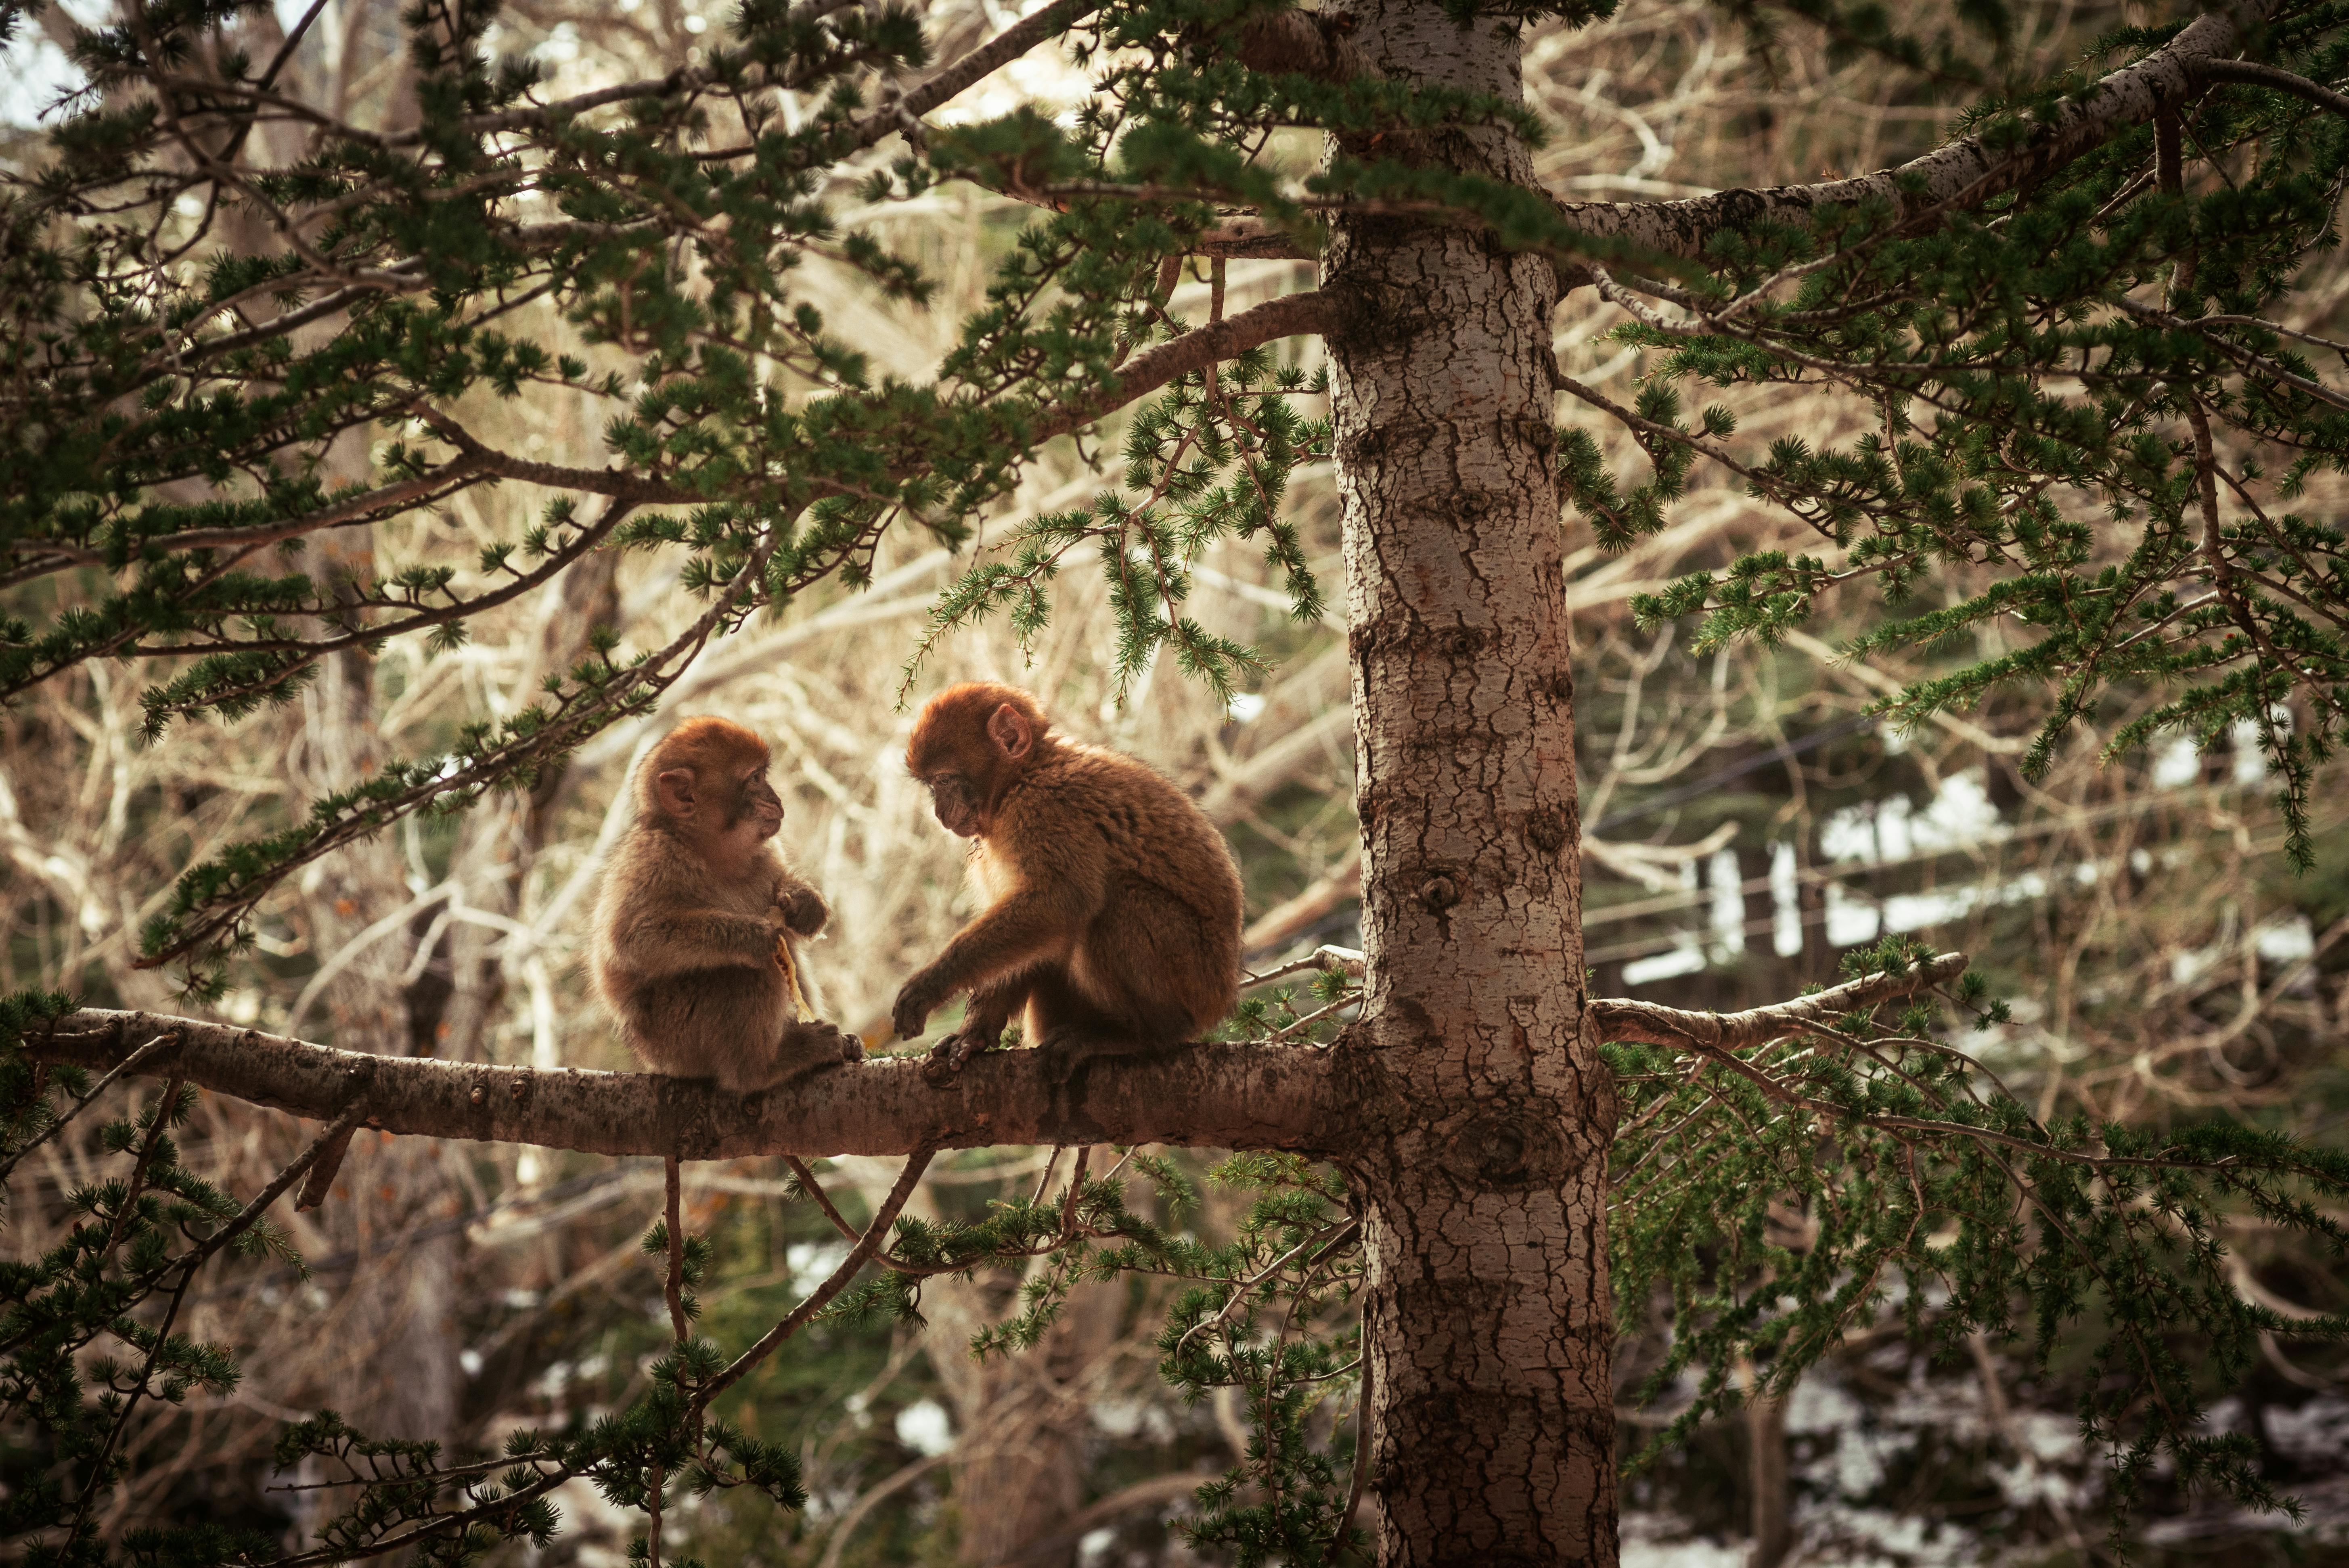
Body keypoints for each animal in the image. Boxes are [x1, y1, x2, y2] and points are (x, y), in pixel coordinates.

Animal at [590, 716, 861, 1091]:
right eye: (755, 779)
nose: (775, 799)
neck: (713, 854)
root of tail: (655, 1060)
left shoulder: (767, 854)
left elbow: (788, 914)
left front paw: (806, 904)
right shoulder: (655, 859)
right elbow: (631, 941)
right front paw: (751, 935)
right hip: (675, 1037)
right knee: (748, 971)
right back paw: (761, 1069)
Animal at [890, 682, 1245, 1080]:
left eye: (944, 780)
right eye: (933, 786)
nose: (939, 813)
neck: (1024, 776)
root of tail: (1224, 993)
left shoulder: (1045, 807)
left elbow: (1063, 900)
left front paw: (935, 981)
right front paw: (975, 1032)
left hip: (1193, 974)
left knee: (1113, 903)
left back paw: (1146, 1033)